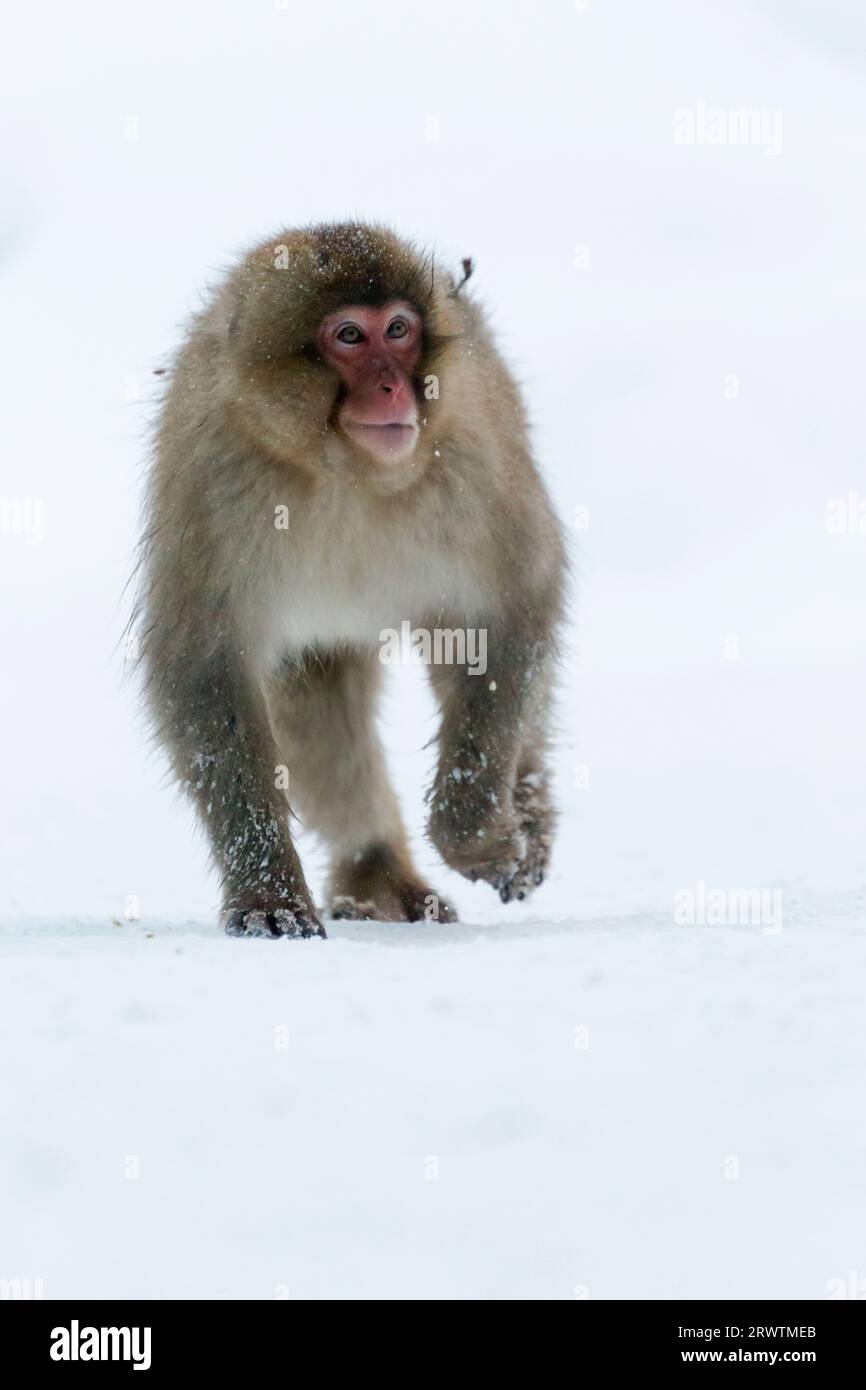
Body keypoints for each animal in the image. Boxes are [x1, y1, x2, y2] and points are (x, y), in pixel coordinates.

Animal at [135, 222, 567, 938]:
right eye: (348, 336)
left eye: (397, 329)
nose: (393, 388)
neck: (346, 473)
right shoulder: (212, 475)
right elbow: (206, 664)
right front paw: (269, 894)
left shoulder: (474, 461)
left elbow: (511, 610)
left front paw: (479, 835)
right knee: (316, 686)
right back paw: (376, 870)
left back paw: (527, 804)